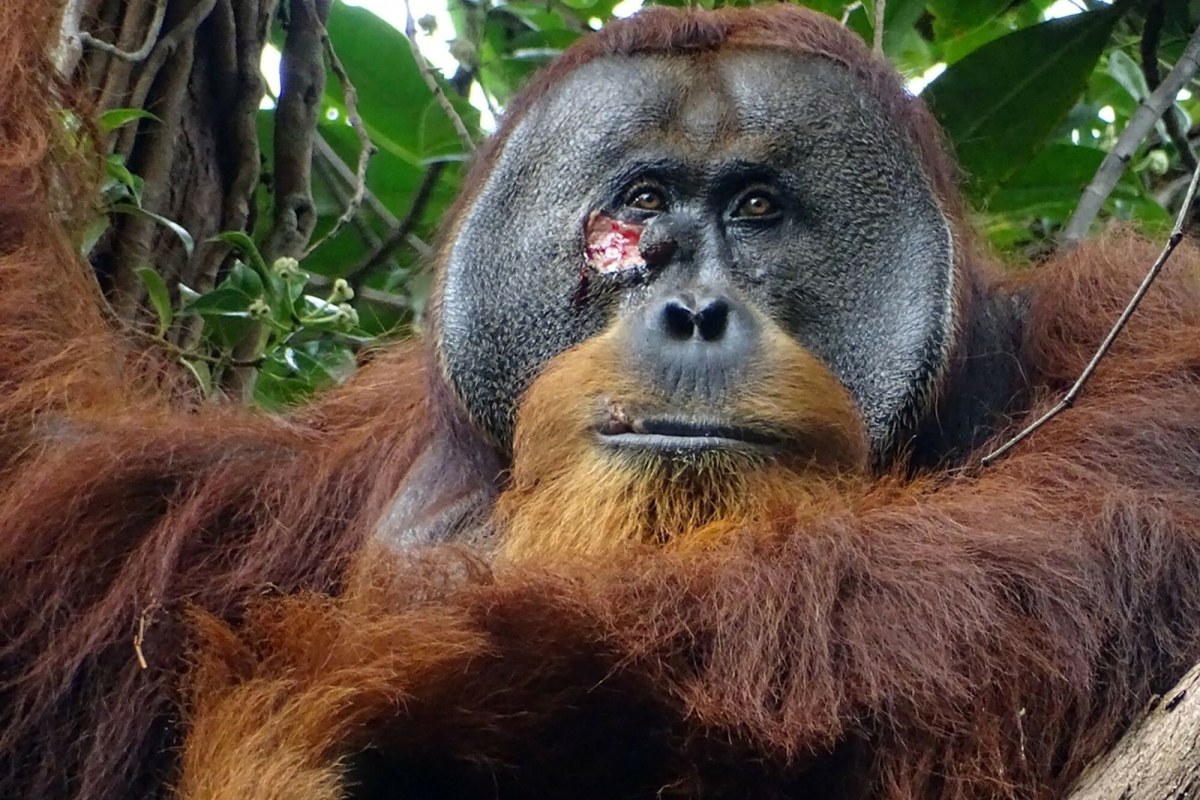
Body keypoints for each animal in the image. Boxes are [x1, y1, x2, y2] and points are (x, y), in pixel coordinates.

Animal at [3, 4, 1200, 800]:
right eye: (644, 203)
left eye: (757, 208)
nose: (693, 308)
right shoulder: (286, 485)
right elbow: (53, 477)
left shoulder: (1120, 326)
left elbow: (1084, 534)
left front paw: (386, 687)